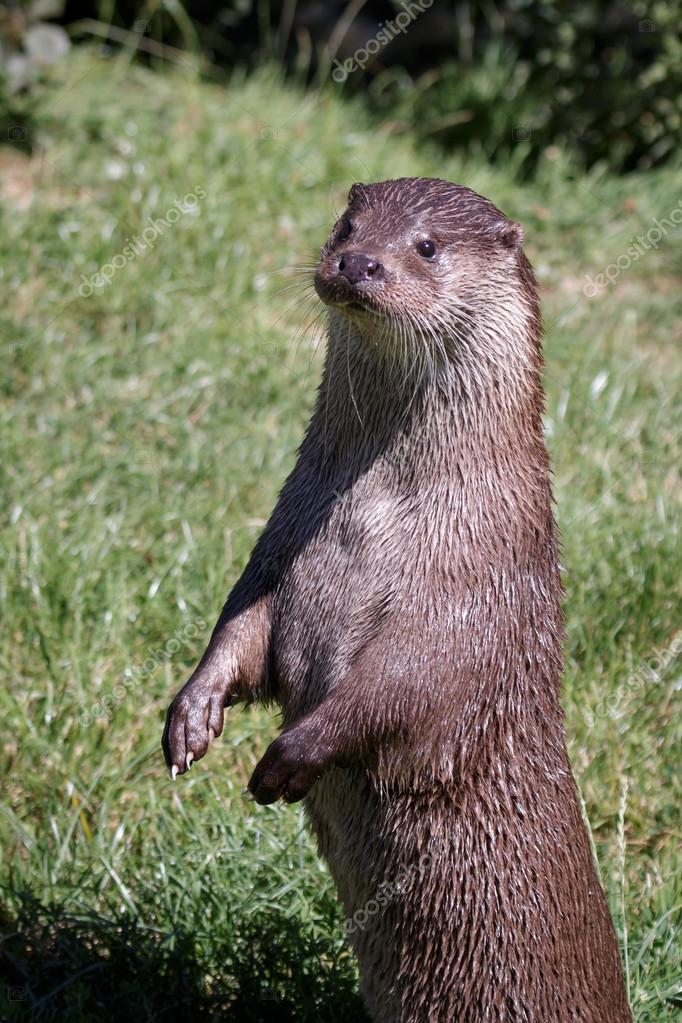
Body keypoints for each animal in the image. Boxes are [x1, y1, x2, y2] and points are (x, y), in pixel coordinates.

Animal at [162, 178, 632, 1022]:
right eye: (348, 225)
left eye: (427, 246)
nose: (359, 262)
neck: (379, 514)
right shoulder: (284, 539)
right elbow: (244, 628)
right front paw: (192, 713)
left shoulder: (468, 590)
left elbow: (403, 686)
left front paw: (288, 757)